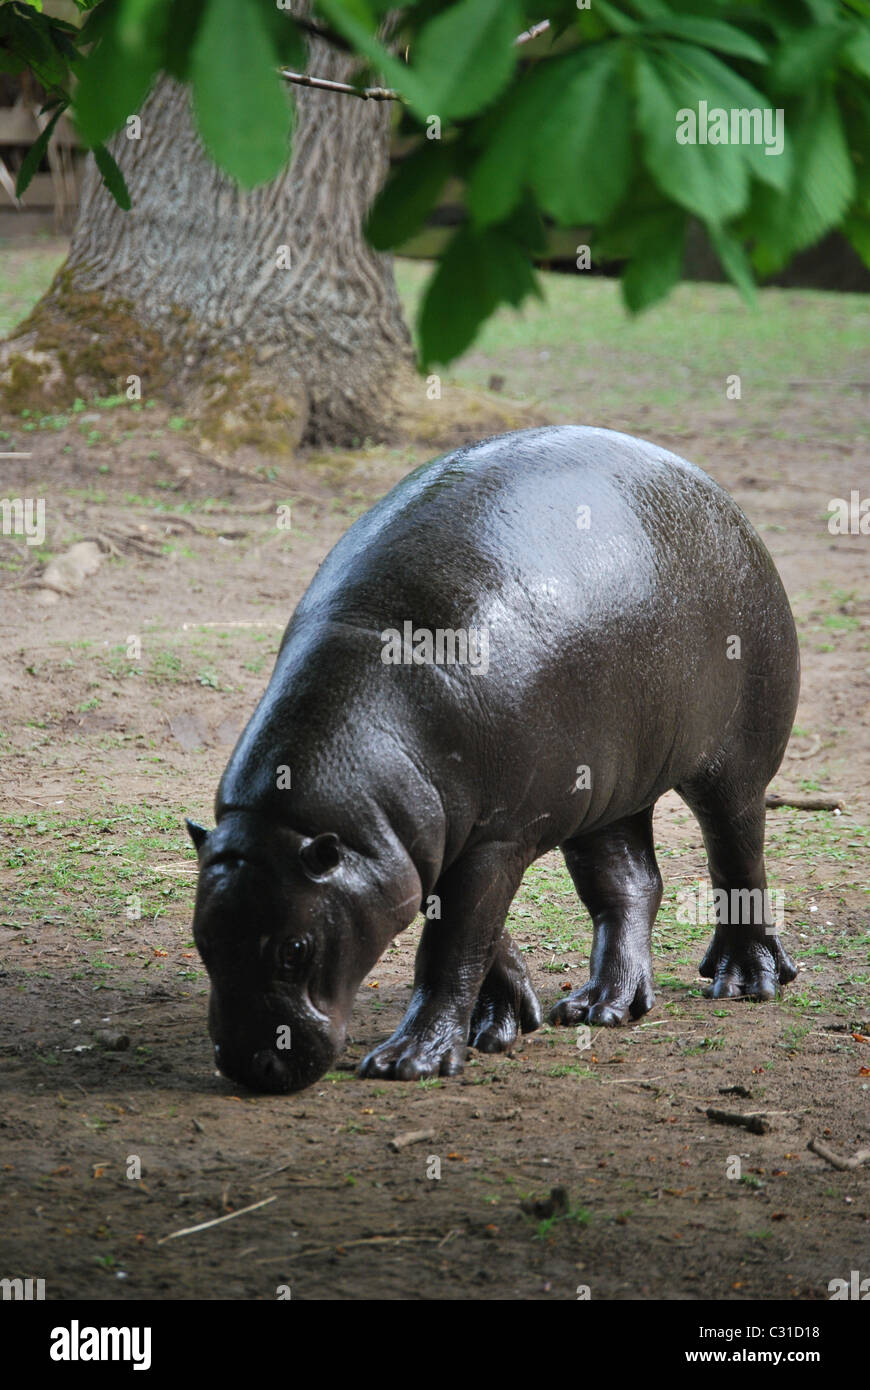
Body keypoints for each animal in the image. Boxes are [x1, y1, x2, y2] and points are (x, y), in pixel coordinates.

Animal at [187, 426, 799, 1094]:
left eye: (294, 949)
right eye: (202, 938)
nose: (250, 1065)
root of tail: (716, 492)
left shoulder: (492, 839)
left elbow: (453, 945)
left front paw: (410, 1062)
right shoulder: (436, 840)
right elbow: (483, 939)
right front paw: (501, 1025)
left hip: (736, 764)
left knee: (737, 855)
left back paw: (747, 981)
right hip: (606, 786)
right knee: (629, 884)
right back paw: (601, 1007)